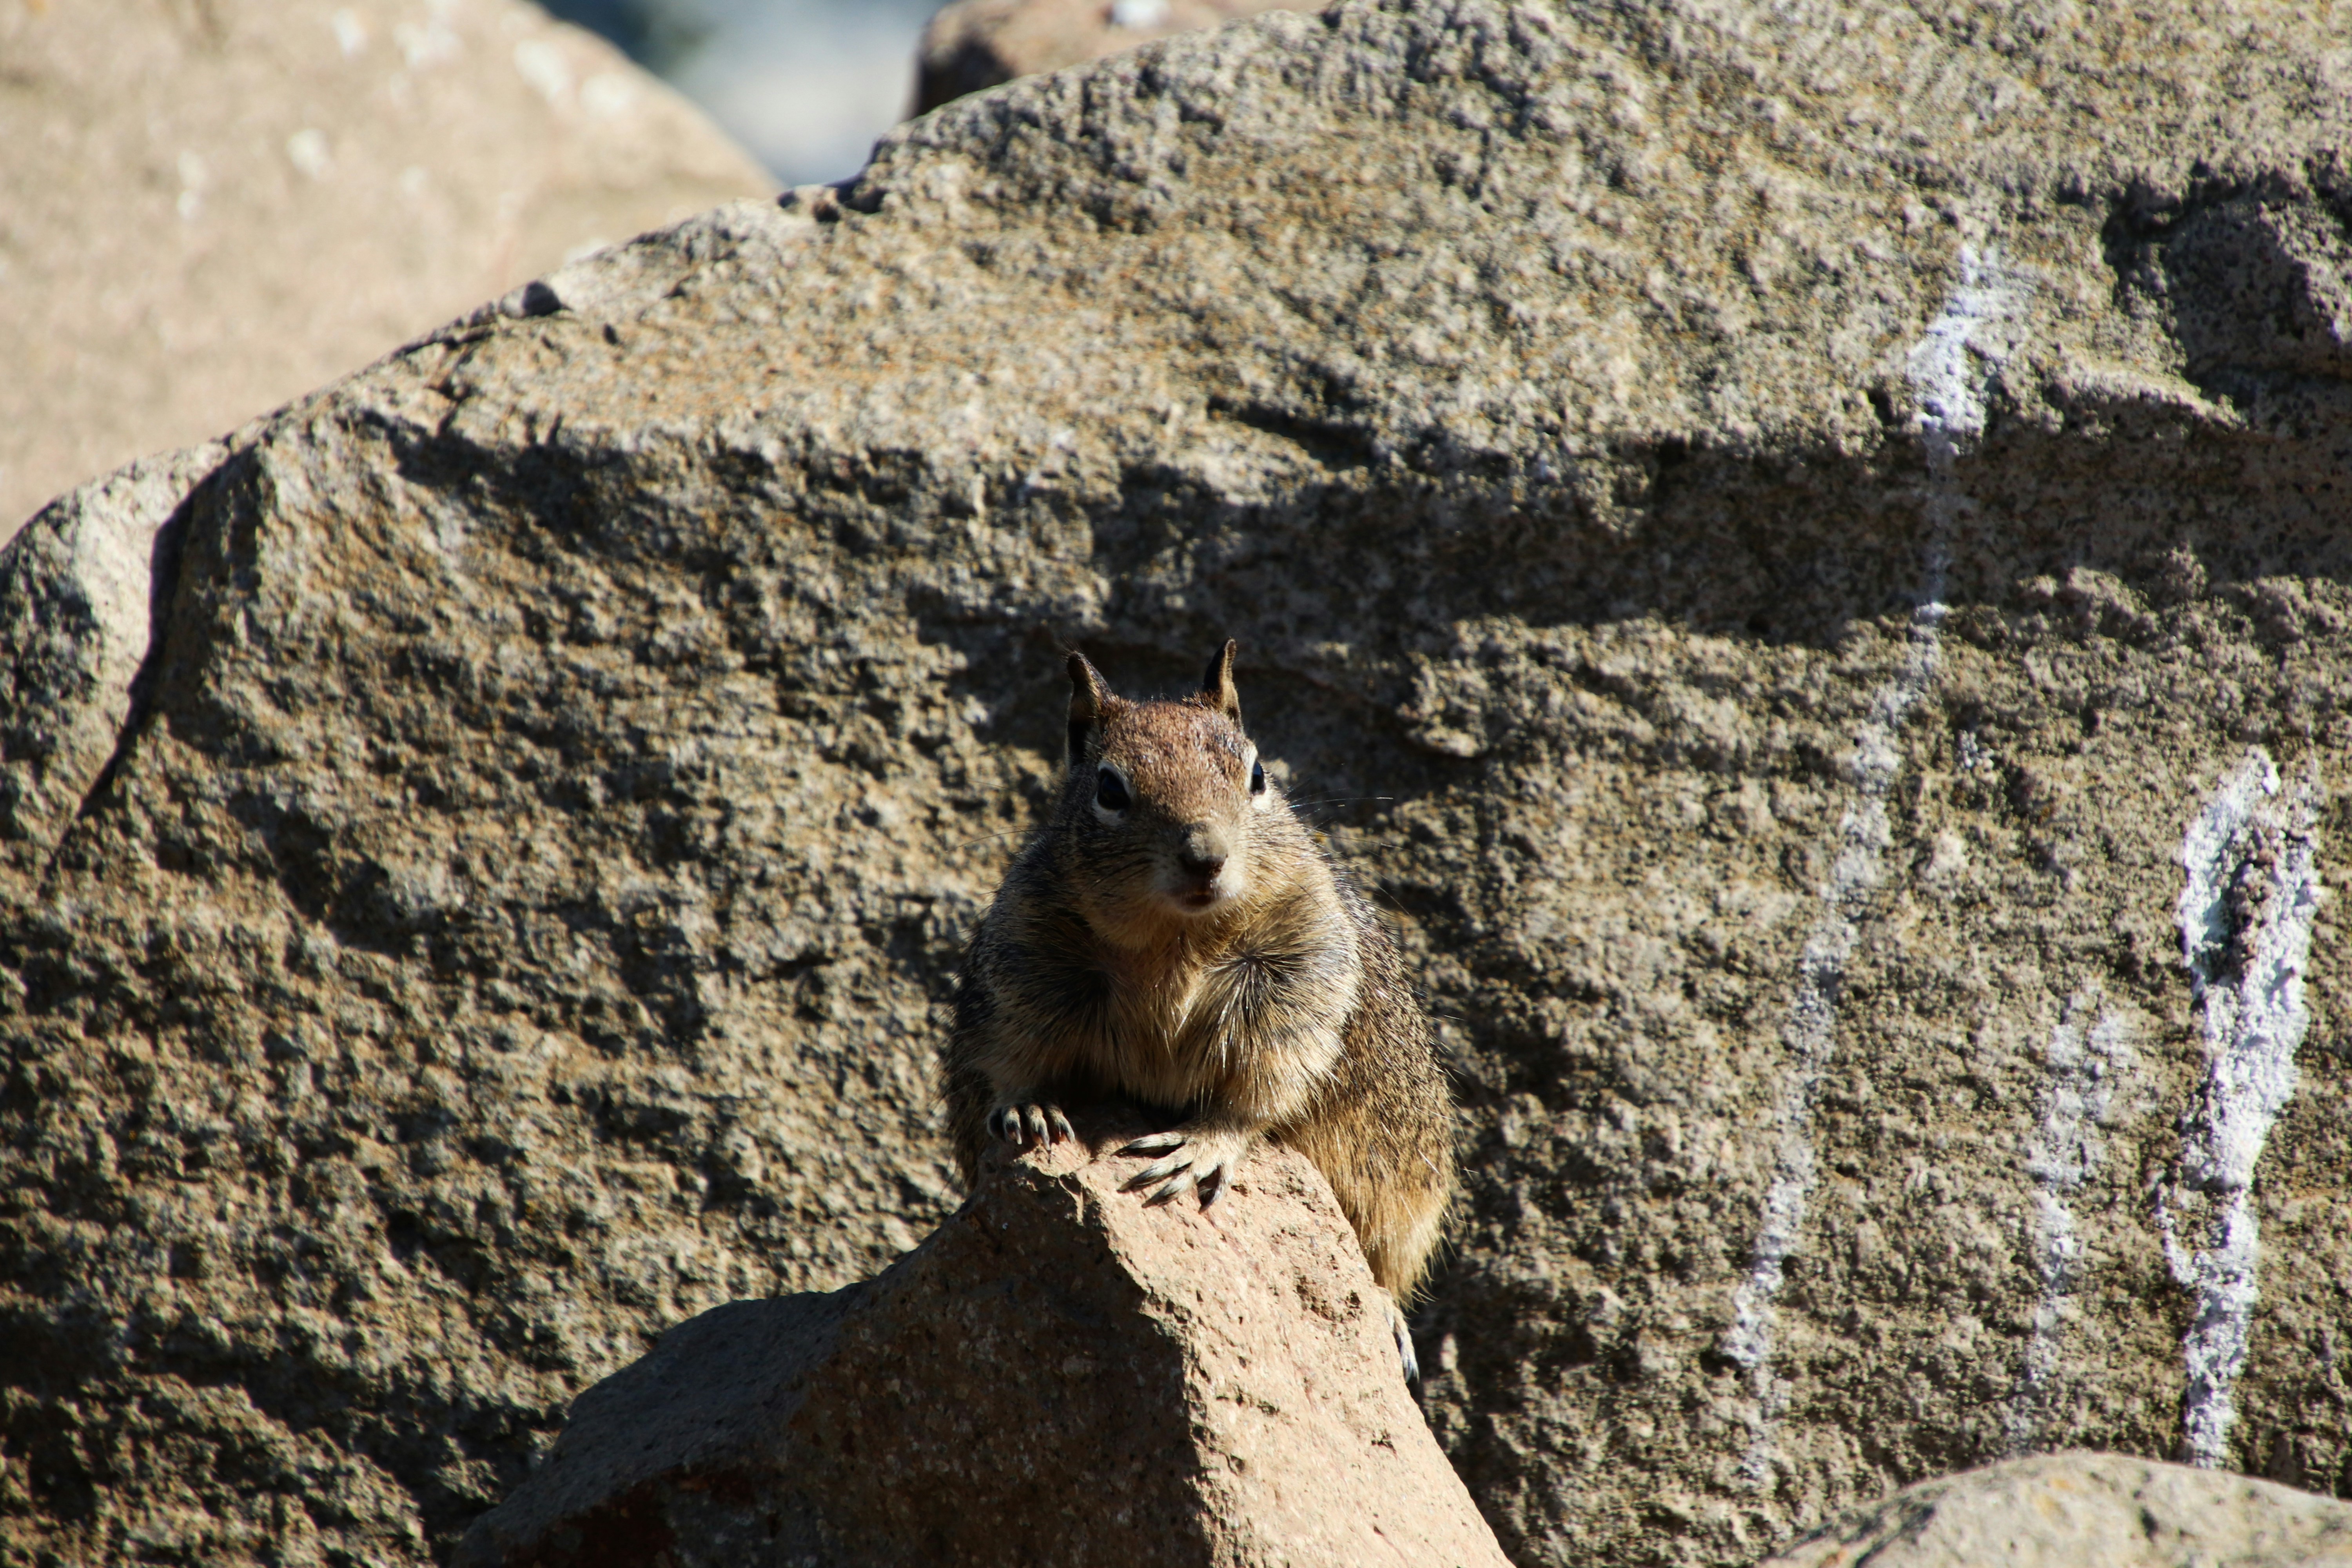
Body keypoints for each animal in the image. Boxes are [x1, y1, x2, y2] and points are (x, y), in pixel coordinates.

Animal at [944, 641, 1456, 1375]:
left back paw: (1387, 1315)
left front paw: (1203, 1144)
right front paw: (1030, 1106)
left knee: (1384, 1265)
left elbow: (1263, 1083)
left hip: (1403, 1191)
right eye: (1109, 790)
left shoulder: (1298, 972)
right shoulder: (1027, 958)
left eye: (1258, 774)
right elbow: (1014, 1050)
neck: (1176, 940)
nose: (1206, 857)